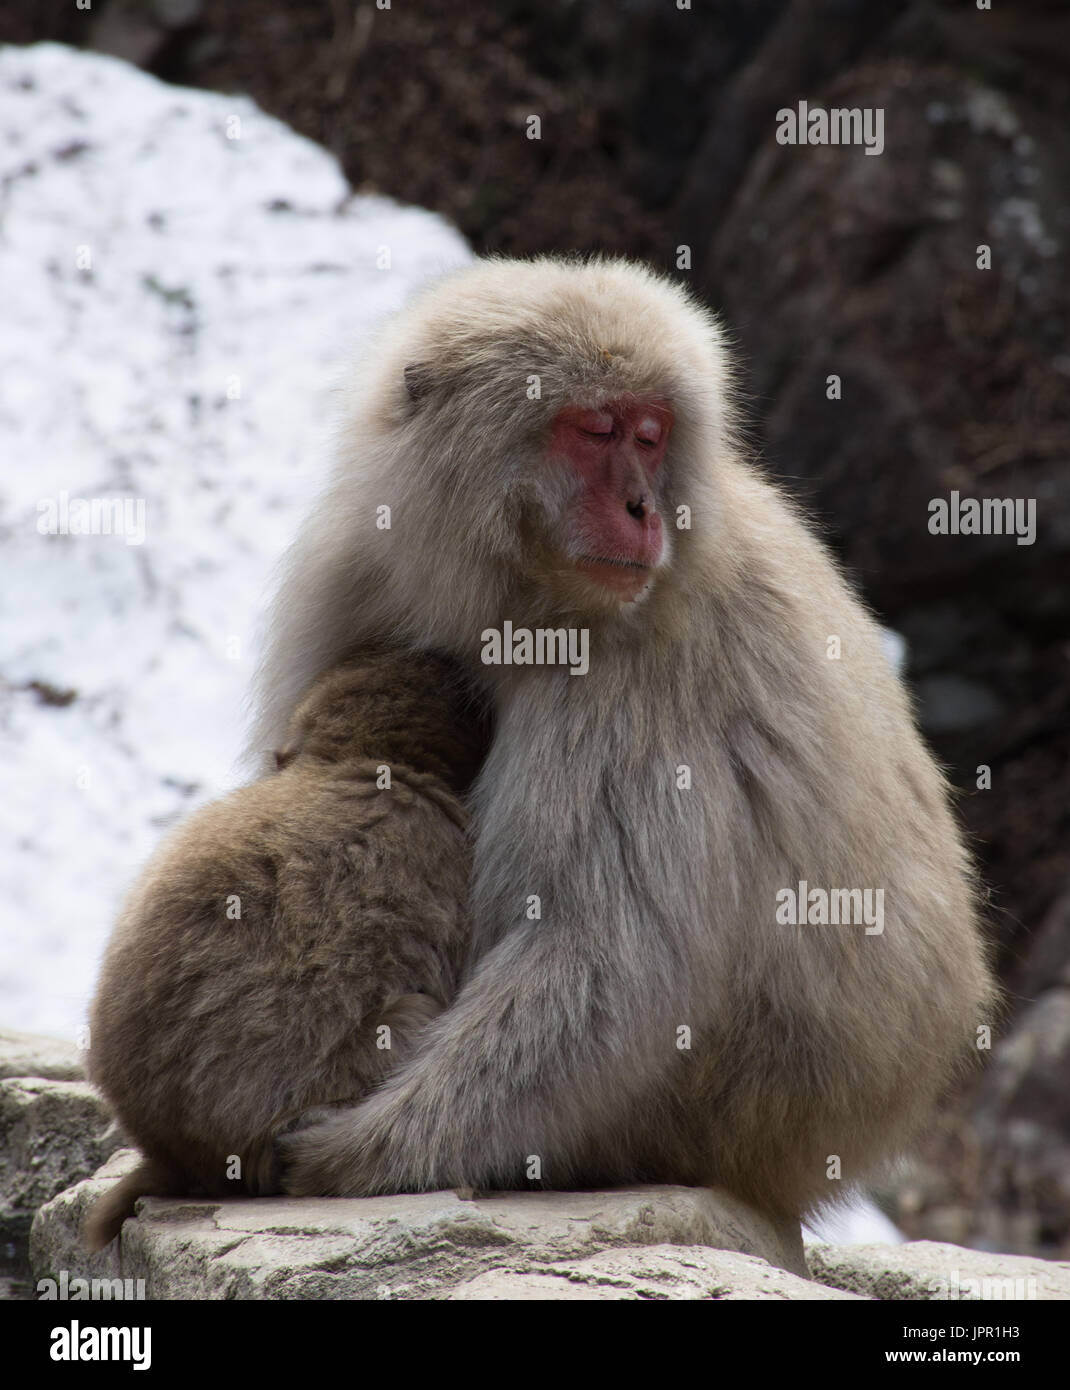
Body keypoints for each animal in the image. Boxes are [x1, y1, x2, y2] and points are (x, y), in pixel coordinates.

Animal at [248, 255, 995, 1227]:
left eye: (650, 434)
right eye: (596, 429)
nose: (645, 508)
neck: (513, 600)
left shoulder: (632, 669)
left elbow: (601, 957)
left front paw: (357, 1153)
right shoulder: (357, 568)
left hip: (736, 1104)